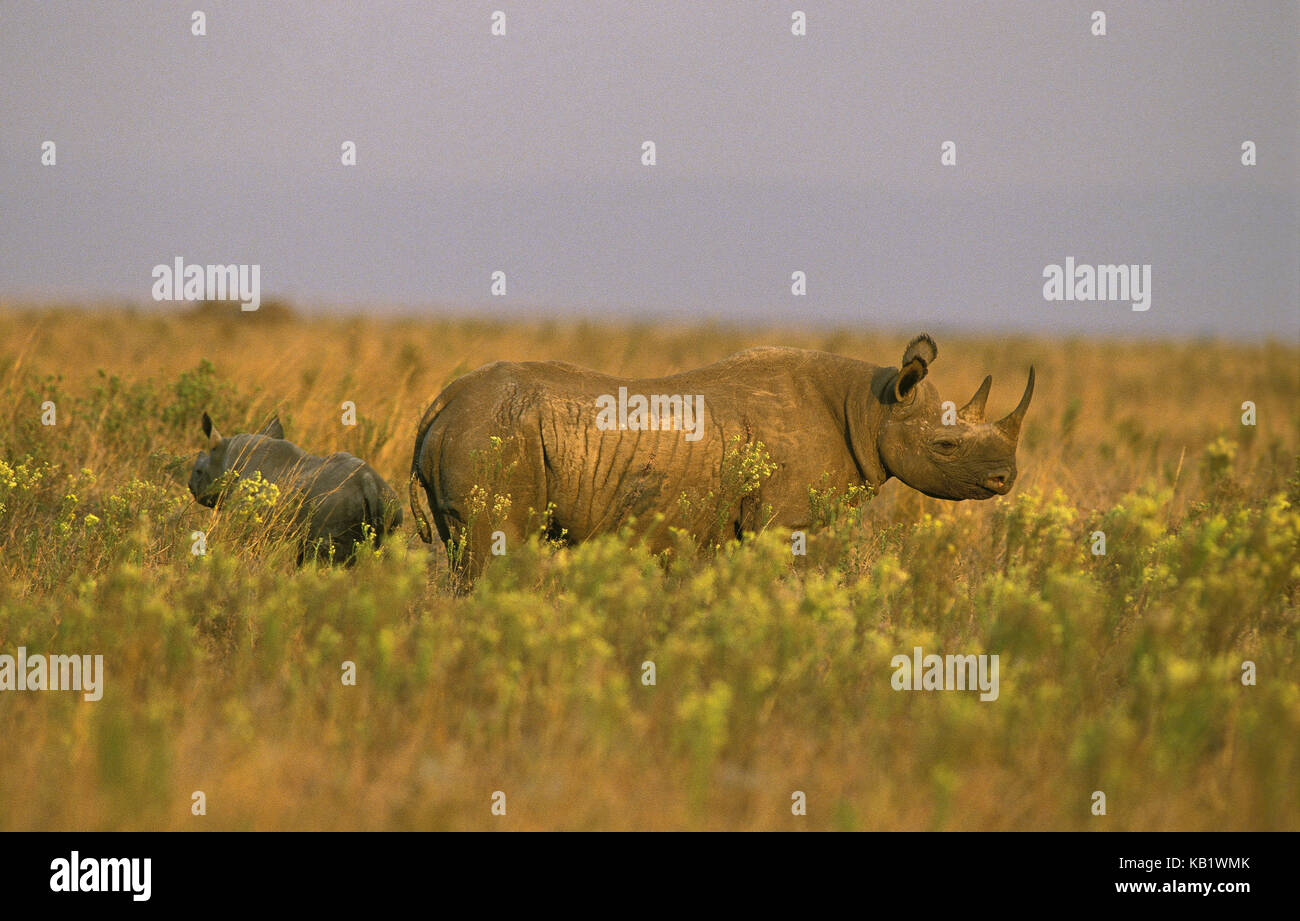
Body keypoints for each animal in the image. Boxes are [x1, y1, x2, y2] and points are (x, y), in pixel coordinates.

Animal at [409, 334, 1033, 579]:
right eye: (946, 446)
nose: (1005, 478)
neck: (870, 407)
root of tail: (440, 403)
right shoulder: (785, 519)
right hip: (491, 433)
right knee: (496, 551)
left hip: (474, 430)